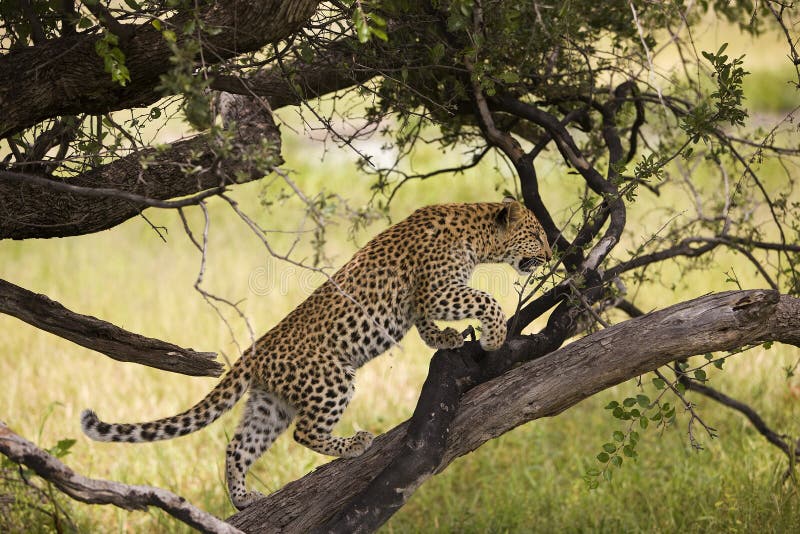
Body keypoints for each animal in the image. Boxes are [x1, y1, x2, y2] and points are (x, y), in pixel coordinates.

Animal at [81, 198, 552, 510]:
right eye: (537, 236)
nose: (550, 256)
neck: (476, 231)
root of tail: (256, 351)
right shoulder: (438, 288)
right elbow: (485, 299)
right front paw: (493, 336)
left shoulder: (425, 298)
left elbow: (428, 325)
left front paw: (449, 339)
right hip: (331, 379)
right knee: (304, 433)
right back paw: (354, 444)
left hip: (270, 405)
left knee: (239, 447)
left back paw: (244, 499)